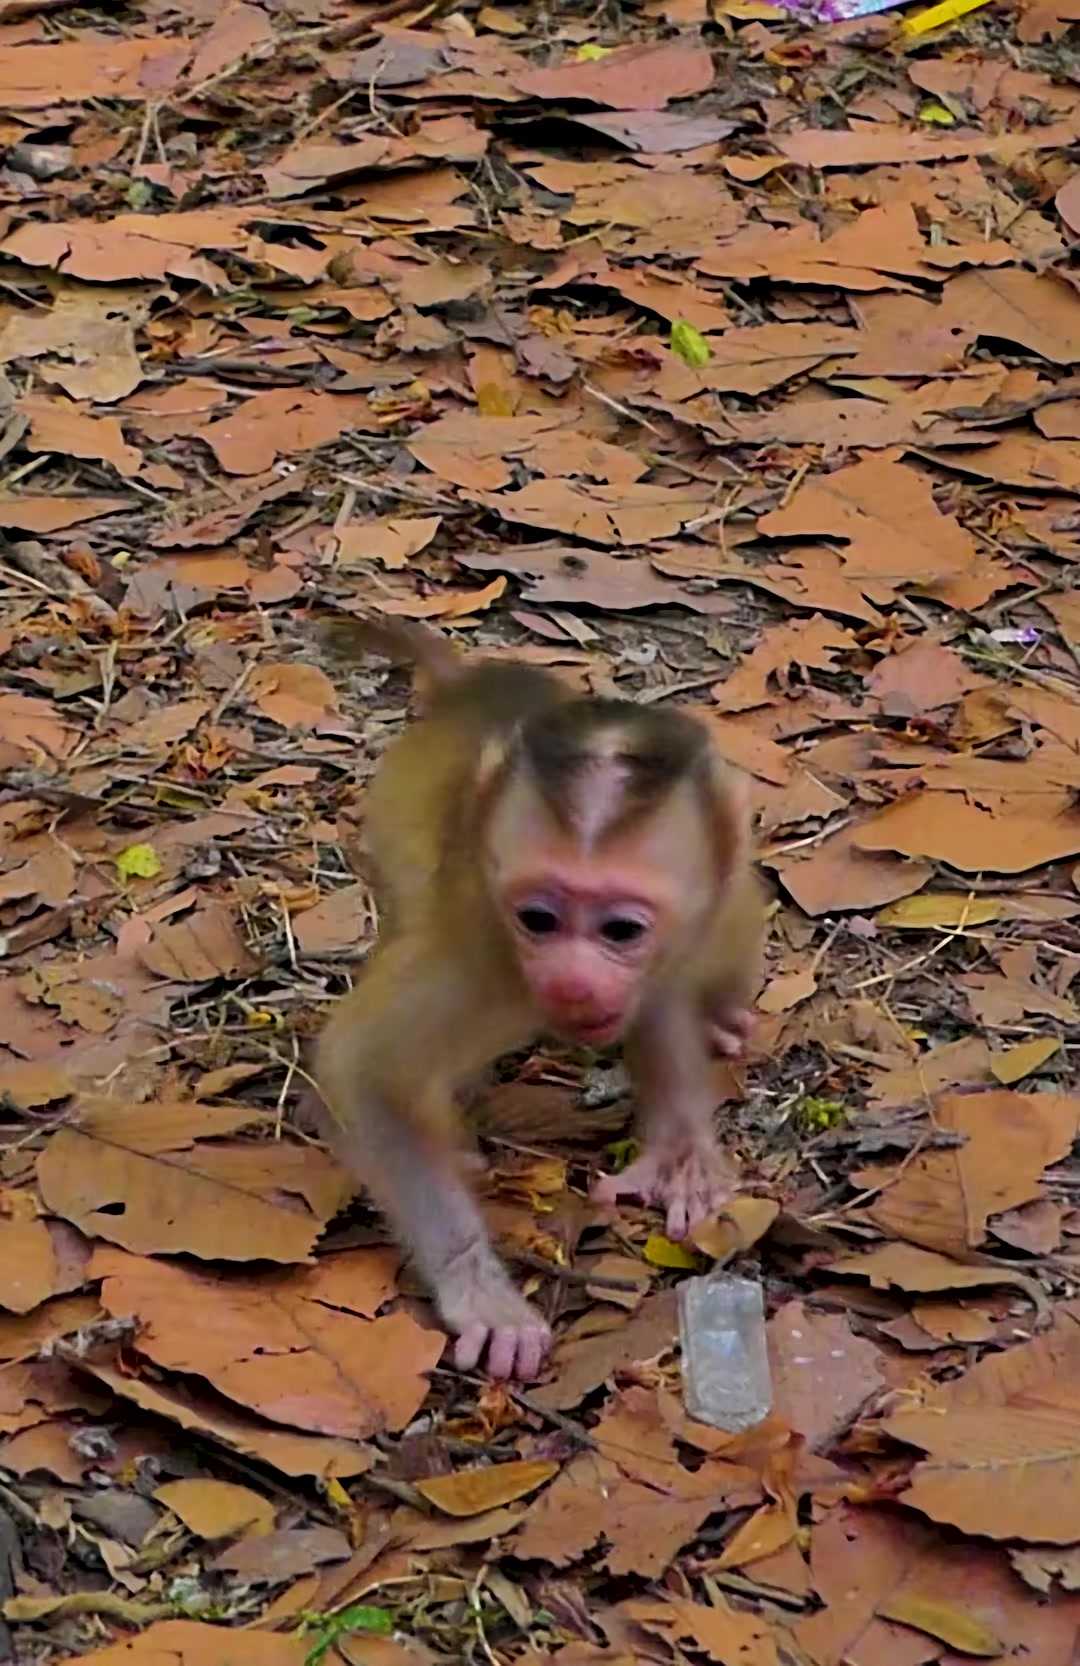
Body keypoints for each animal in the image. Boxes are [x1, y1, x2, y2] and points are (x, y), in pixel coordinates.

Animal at [314, 613, 763, 1383]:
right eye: (538, 920)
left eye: (620, 930)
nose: (572, 980)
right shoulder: (480, 961)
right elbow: (362, 1072)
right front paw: (478, 1289)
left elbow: (664, 998)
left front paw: (680, 1154)